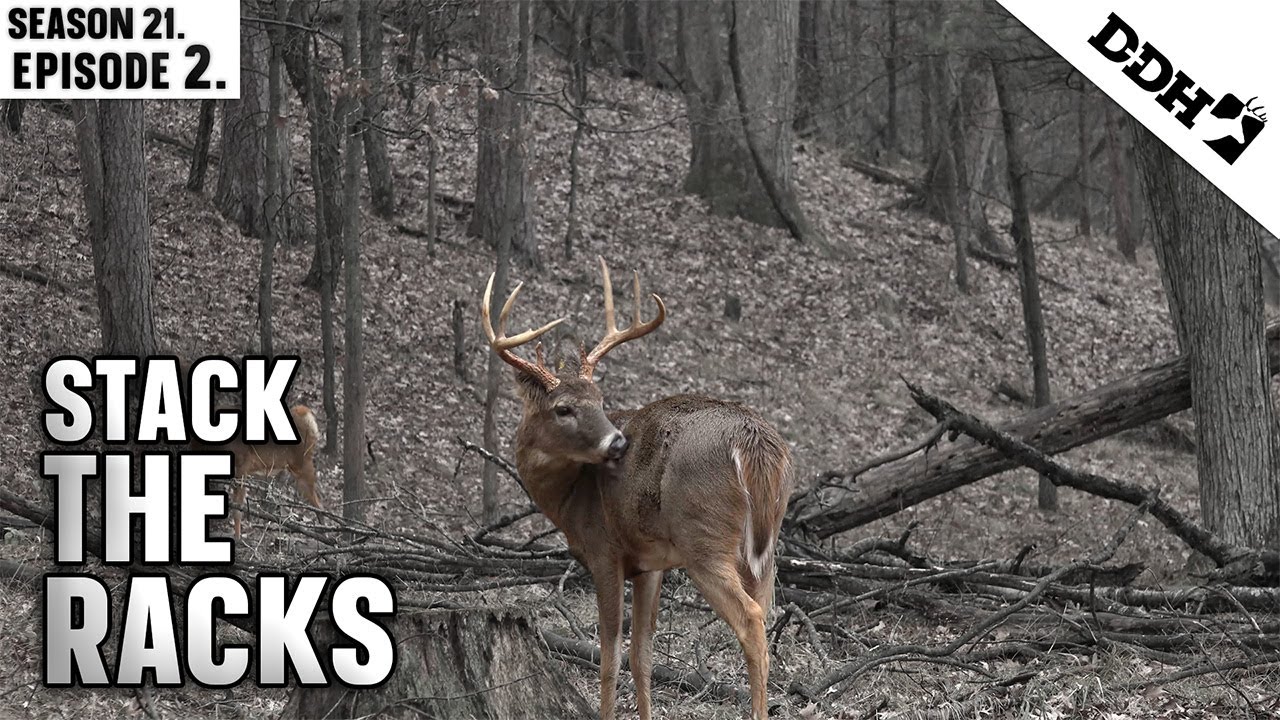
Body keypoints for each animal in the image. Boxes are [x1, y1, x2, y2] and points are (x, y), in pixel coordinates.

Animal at [481, 258, 794, 720]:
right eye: (564, 408)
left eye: (600, 399)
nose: (617, 443)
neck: (568, 499)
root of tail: (754, 441)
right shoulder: (651, 564)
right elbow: (642, 656)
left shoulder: (603, 552)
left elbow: (609, 657)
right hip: (763, 547)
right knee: (766, 615)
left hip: (703, 538)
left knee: (751, 621)